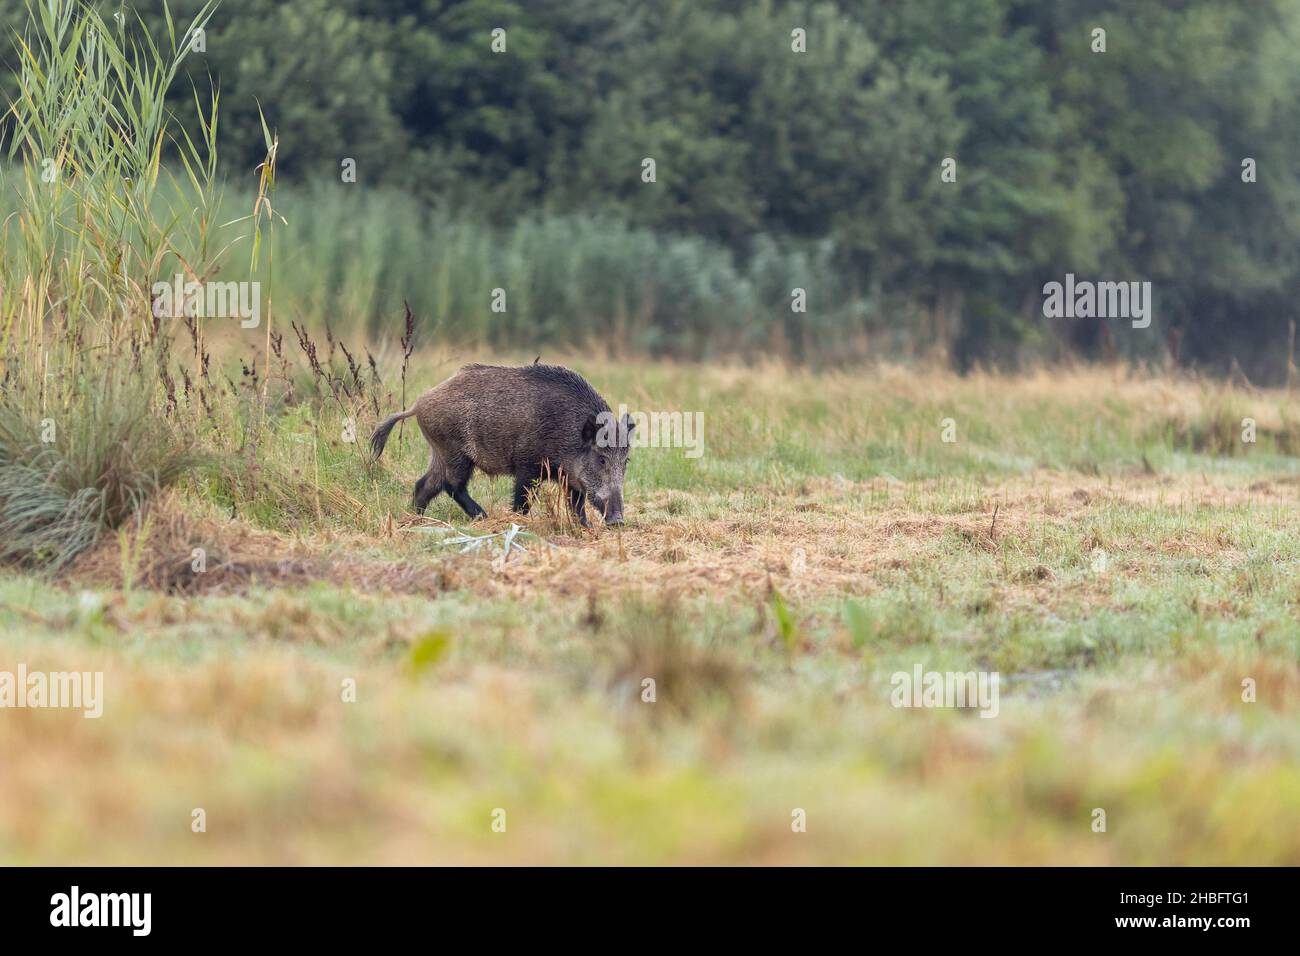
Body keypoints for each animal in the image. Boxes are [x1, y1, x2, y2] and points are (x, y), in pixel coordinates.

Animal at [369, 363, 634, 525]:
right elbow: (523, 497)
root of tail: (418, 403)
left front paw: (586, 527)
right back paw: (482, 516)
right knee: (452, 485)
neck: (568, 434)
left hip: (440, 453)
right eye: (601, 459)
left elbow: (576, 504)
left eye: (626, 462)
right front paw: (518, 521)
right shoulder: (528, 465)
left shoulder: (570, 478)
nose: (618, 521)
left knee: (425, 485)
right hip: (455, 451)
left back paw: (417, 519)